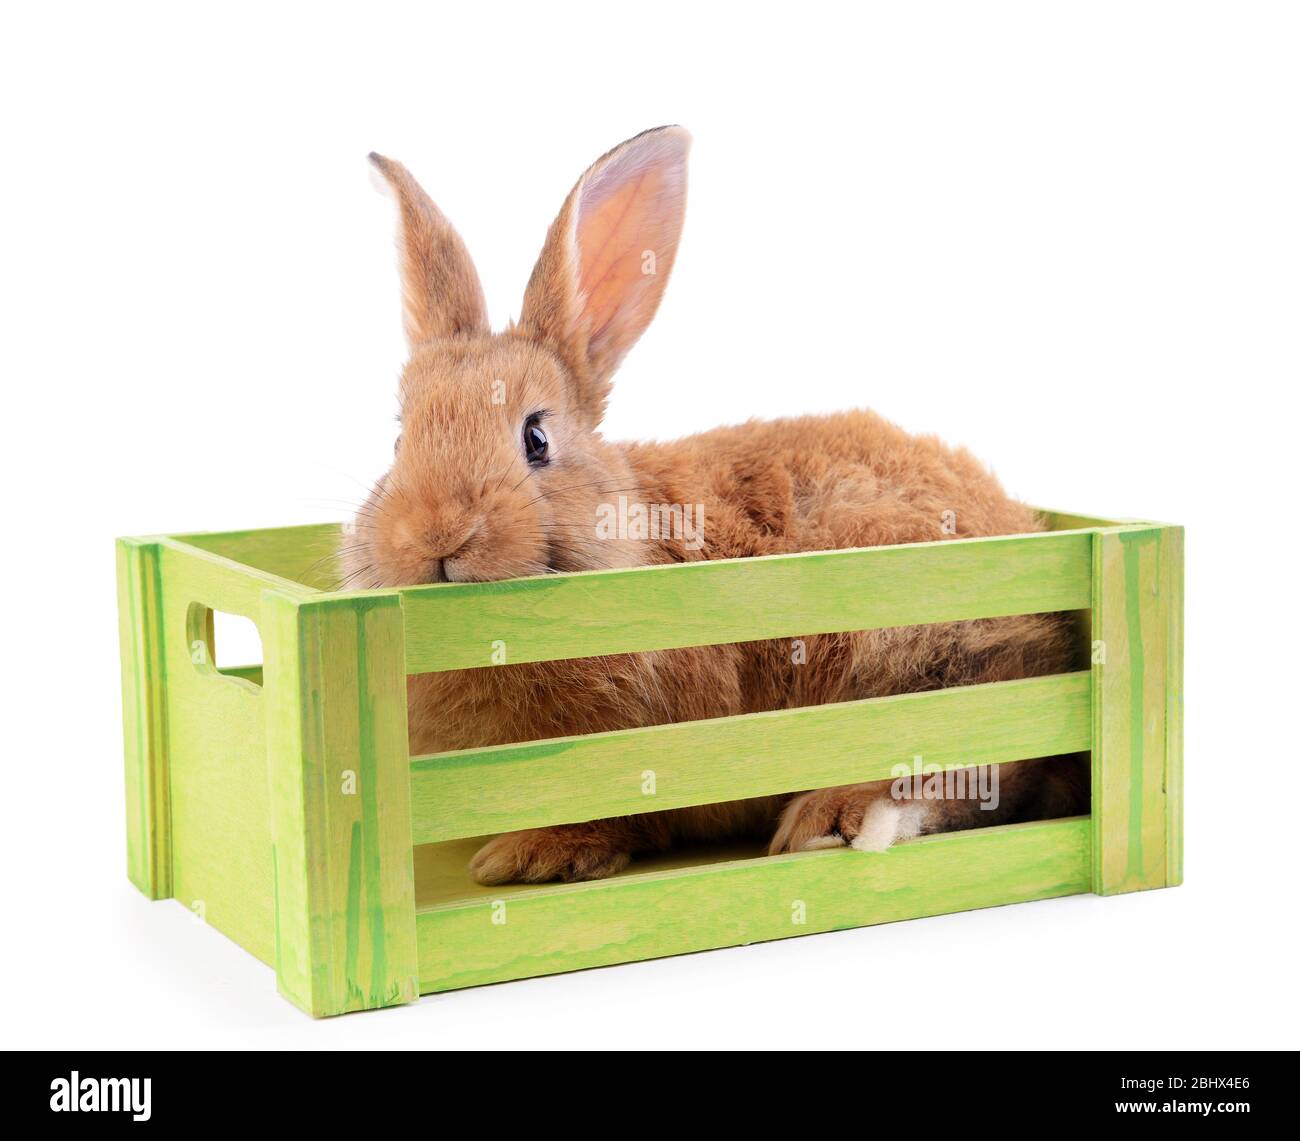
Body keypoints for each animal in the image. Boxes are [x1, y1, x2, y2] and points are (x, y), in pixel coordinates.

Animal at [344, 126, 1086, 885]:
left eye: (536, 437)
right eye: (399, 438)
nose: (437, 533)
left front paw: (524, 858)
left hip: (915, 655)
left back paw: (831, 817)